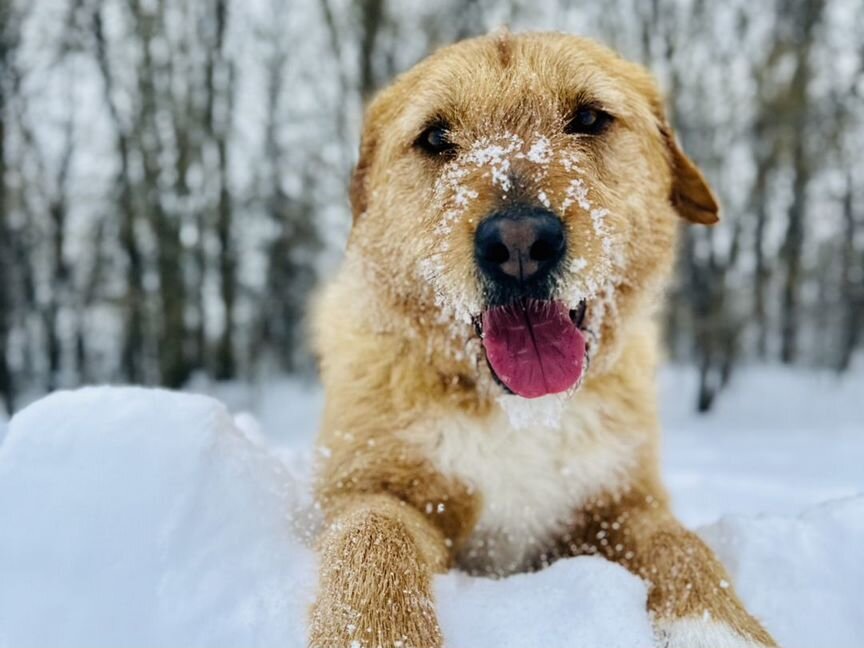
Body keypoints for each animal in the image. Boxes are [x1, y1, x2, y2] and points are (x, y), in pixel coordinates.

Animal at [308, 31, 776, 648]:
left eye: (589, 117)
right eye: (435, 137)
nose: (519, 243)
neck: (521, 413)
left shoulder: (620, 504)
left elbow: (680, 544)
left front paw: (719, 628)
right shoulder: (364, 488)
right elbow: (373, 535)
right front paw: (379, 633)